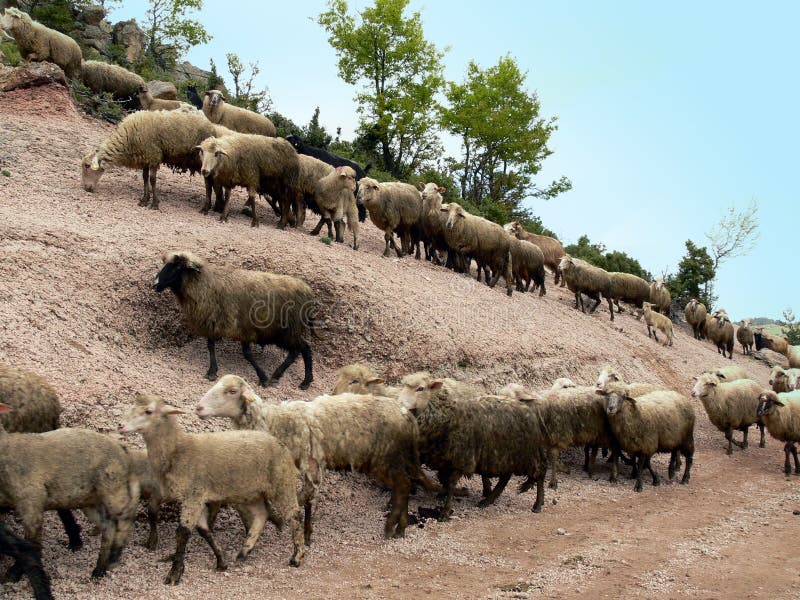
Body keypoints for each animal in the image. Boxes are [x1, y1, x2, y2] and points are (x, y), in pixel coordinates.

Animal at [0, 403, 140, 580]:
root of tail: (124, 449)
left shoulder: (31, 501)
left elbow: (31, 541)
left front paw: (15, 573)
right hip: (91, 500)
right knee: (108, 526)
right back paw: (99, 569)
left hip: (114, 490)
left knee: (125, 519)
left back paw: (113, 558)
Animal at [81, 109, 232, 210]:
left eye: (87, 166)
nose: (85, 188)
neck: (128, 139)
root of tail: (214, 127)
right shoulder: (145, 158)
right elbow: (145, 178)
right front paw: (144, 199)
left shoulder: (153, 156)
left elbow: (153, 180)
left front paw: (154, 203)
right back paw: (217, 205)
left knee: (210, 183)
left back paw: (212, 206)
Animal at [119, 394, 305, 585]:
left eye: (148, 411)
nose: (120, 426)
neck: (177, 451)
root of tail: (279, 443)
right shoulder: (195, 498)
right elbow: (204, 530)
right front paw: (221, 561)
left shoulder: (193, 495)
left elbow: (183, 533)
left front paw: (174, 573)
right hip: (250, 492)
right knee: (262, 514)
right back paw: (244, 551)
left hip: (281, 483)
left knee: (294, 516)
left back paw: (297, 556)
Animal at [153, 251, 317, 389]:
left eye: (177, 267)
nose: (155, 284)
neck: (204, 284)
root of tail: (309, 293)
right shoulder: (213, 322)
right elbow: (210, 346)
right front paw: (212, 371)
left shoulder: (243, 327)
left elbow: (247, 354)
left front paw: (263, 377)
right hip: (284, 332)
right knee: (300, 350)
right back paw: (291, 378)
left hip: (289, 330)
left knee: (302, 349)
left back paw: (294, 379)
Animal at [399, 372, 547, 517]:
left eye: (420, 388)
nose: (400, 404)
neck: (447, 414)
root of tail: (527, 409)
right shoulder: (445, 459)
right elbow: (444, 480)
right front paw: (443, 496)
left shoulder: (462, 457)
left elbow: (451, 483)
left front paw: (446, 511)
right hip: (507, 454)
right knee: (505, 478)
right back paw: (488, 500)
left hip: (526, 453)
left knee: (539, 473)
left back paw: (538, 504)